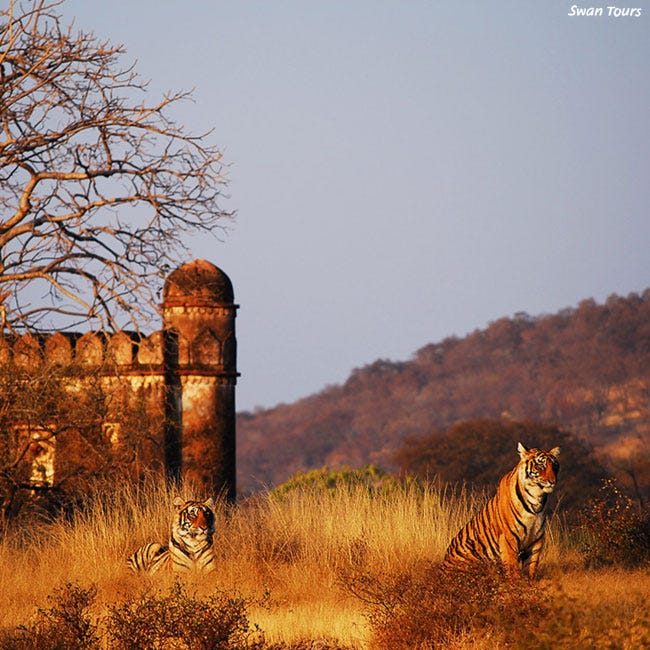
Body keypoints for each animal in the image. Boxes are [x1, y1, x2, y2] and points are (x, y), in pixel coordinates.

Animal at [443, 442, 560, 578]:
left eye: (555, 466)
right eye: (540, 465)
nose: (552, 482)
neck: (536, 498)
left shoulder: (536, 538)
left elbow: (531, 566)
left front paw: (529, 581)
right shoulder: (508, 537)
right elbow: (512, 566)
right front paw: (516, 582)